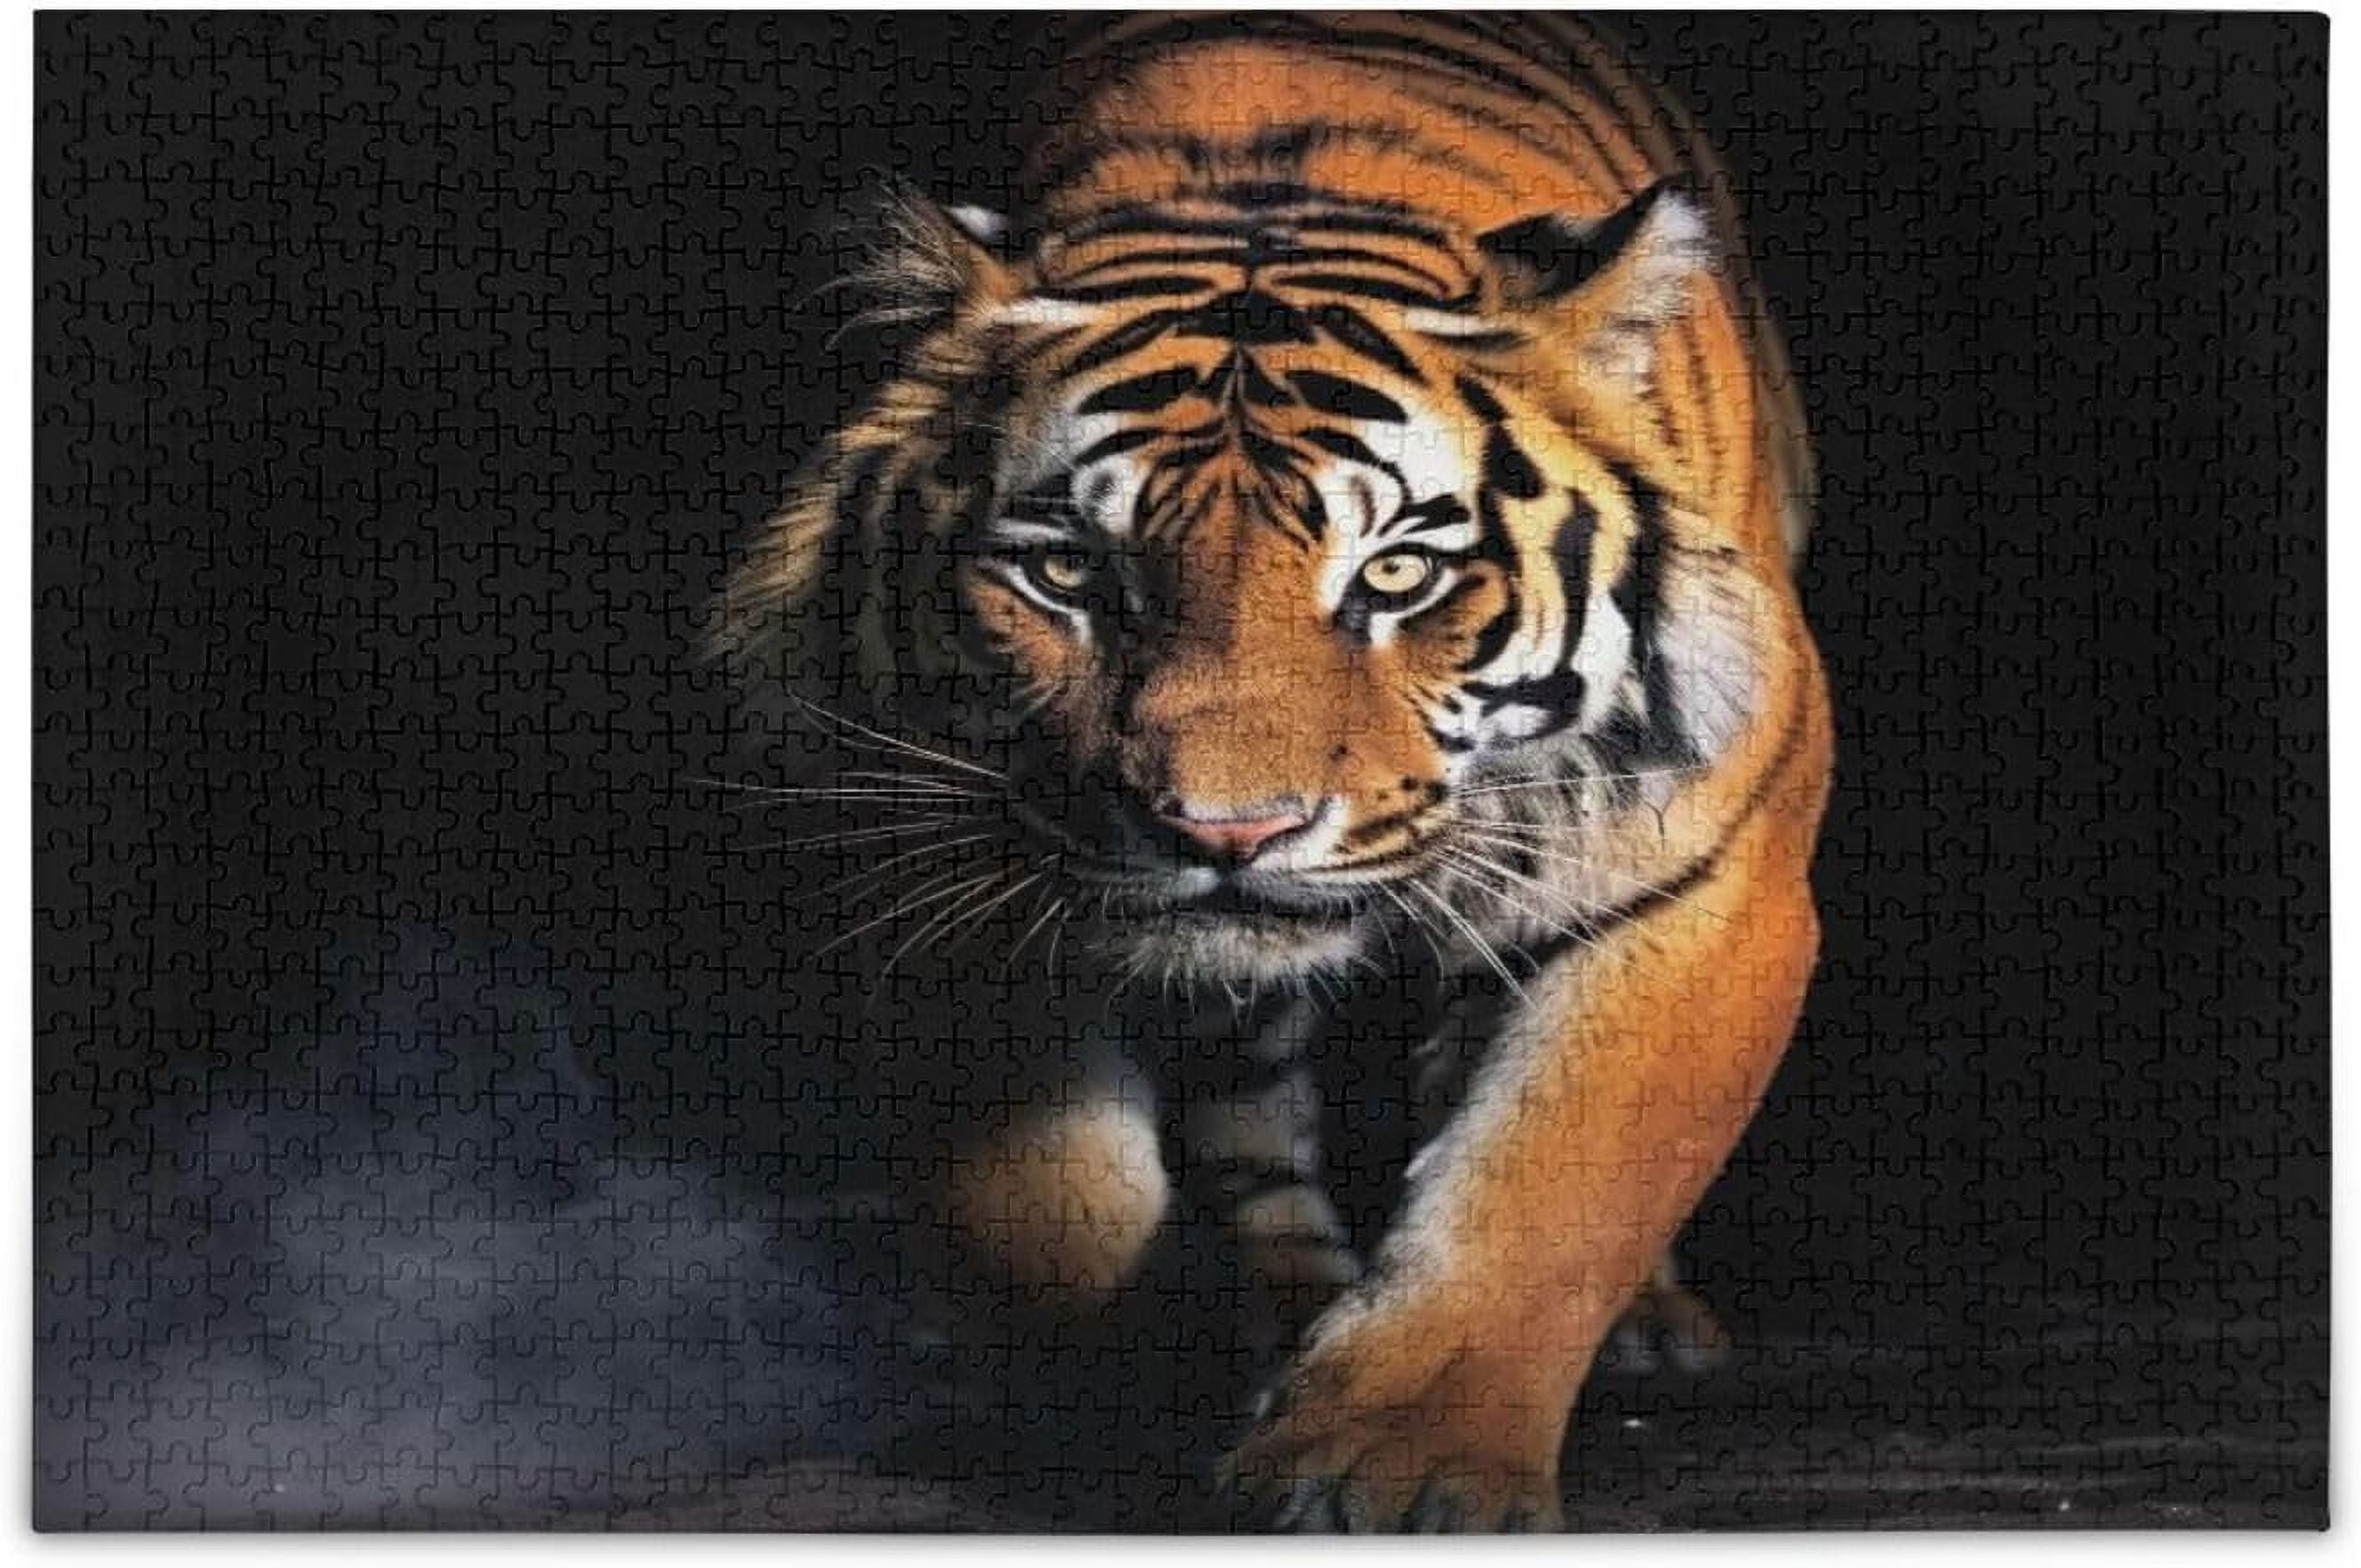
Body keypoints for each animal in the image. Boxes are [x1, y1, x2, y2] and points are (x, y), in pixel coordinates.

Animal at [720, 11, 1832, 1533]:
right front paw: (1142, 1395)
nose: (1227, 833)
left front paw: (1395, 1470)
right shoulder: (911, 852)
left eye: (1400, 576)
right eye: (1070, 573)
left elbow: (1549, 1189)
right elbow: (1040, 1205)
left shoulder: (1703, 872)